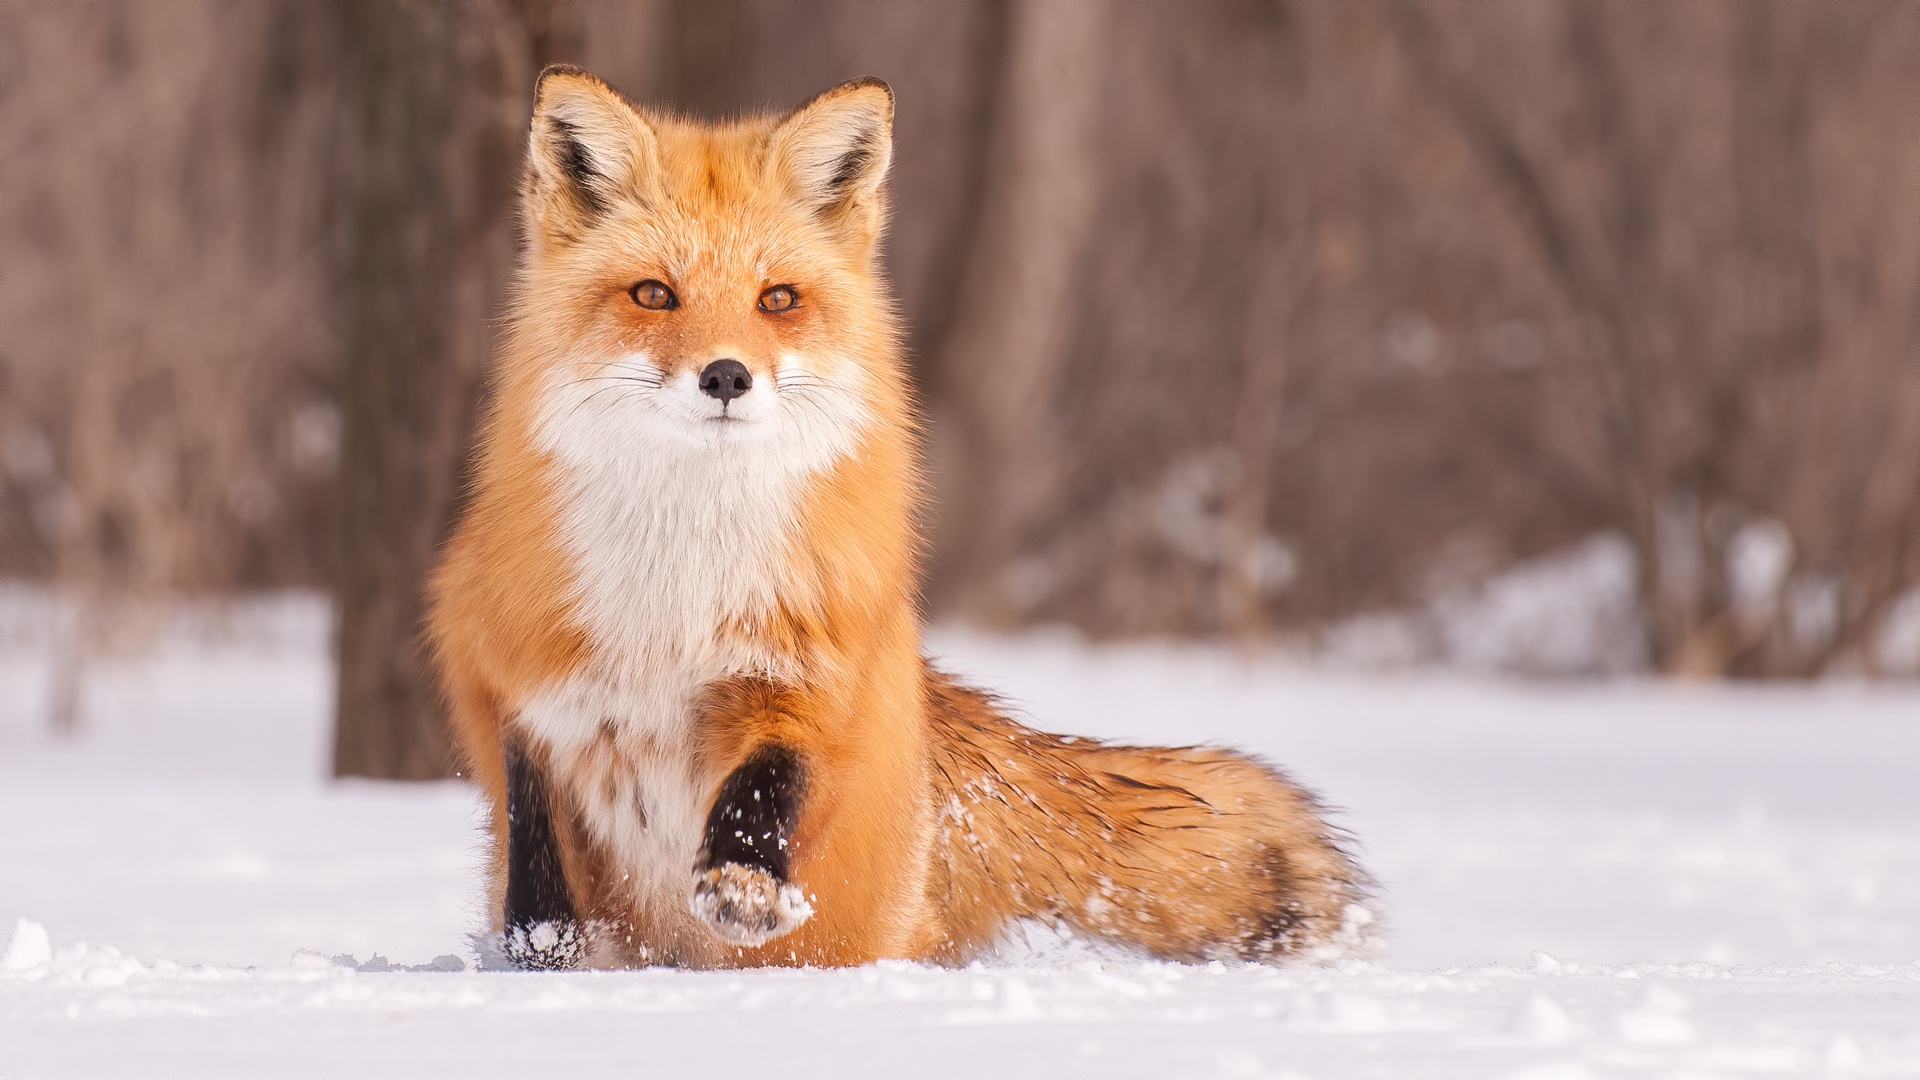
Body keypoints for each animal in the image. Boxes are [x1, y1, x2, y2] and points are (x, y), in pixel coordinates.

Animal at [425, 65, 1369, 971]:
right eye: (654, 294)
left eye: (777, 299)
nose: (727, 376)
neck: (677, 596)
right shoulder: (514, 678)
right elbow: (533, 833)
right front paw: (543, 943)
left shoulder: (809, 675)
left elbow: (767, 786)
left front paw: (743, 885)